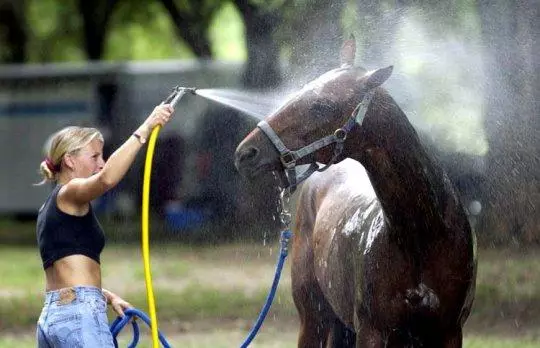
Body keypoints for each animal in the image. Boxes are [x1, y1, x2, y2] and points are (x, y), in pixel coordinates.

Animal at [234, 38, 474, 348]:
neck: (422, 234)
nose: (245, 154)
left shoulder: (449, 332)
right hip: (313, 319)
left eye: (321, 105)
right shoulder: (372, 331)